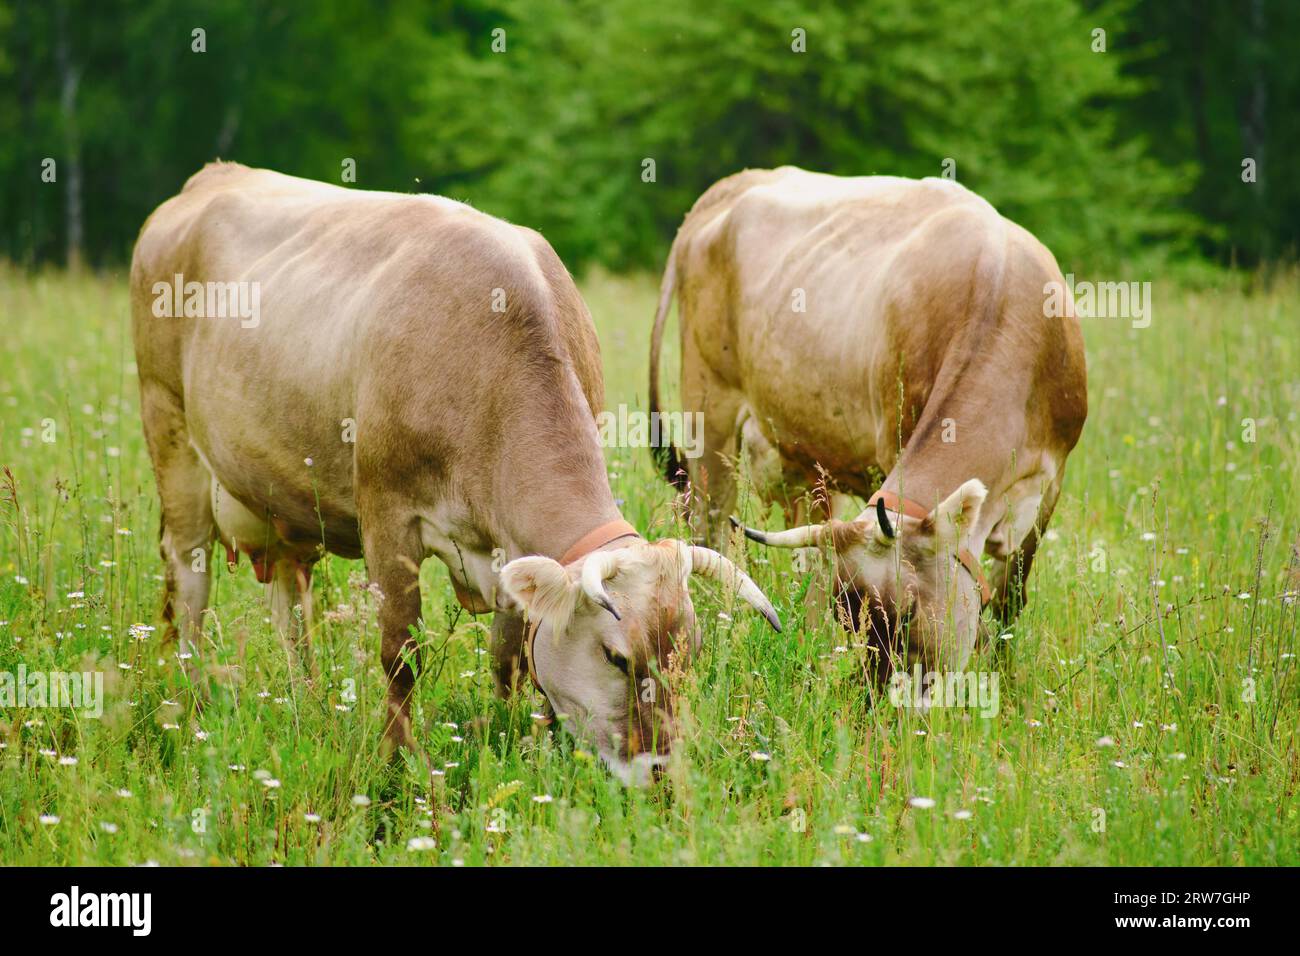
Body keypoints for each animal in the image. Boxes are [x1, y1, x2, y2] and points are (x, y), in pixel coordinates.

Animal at [130, 162, 780, 785]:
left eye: (690, 653)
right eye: (617, 656)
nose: (661, 772)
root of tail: (211, 177)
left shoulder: (510, 551)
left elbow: (510, 658)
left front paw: (517, 742)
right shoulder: (387, 518)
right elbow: (400, 654)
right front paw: (397, 763)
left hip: (281, 502)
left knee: (291, 605)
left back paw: (306, 701)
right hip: (170, 434)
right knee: (190, 586)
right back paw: (189, 707)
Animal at [649, 167, 1086, 689]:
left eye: (911, 611)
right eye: (851, 619)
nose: (888, 696)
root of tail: (738, 182)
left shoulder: (1053, 481)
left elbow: (1009, 602)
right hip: (709, 411)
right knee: (708, 524)